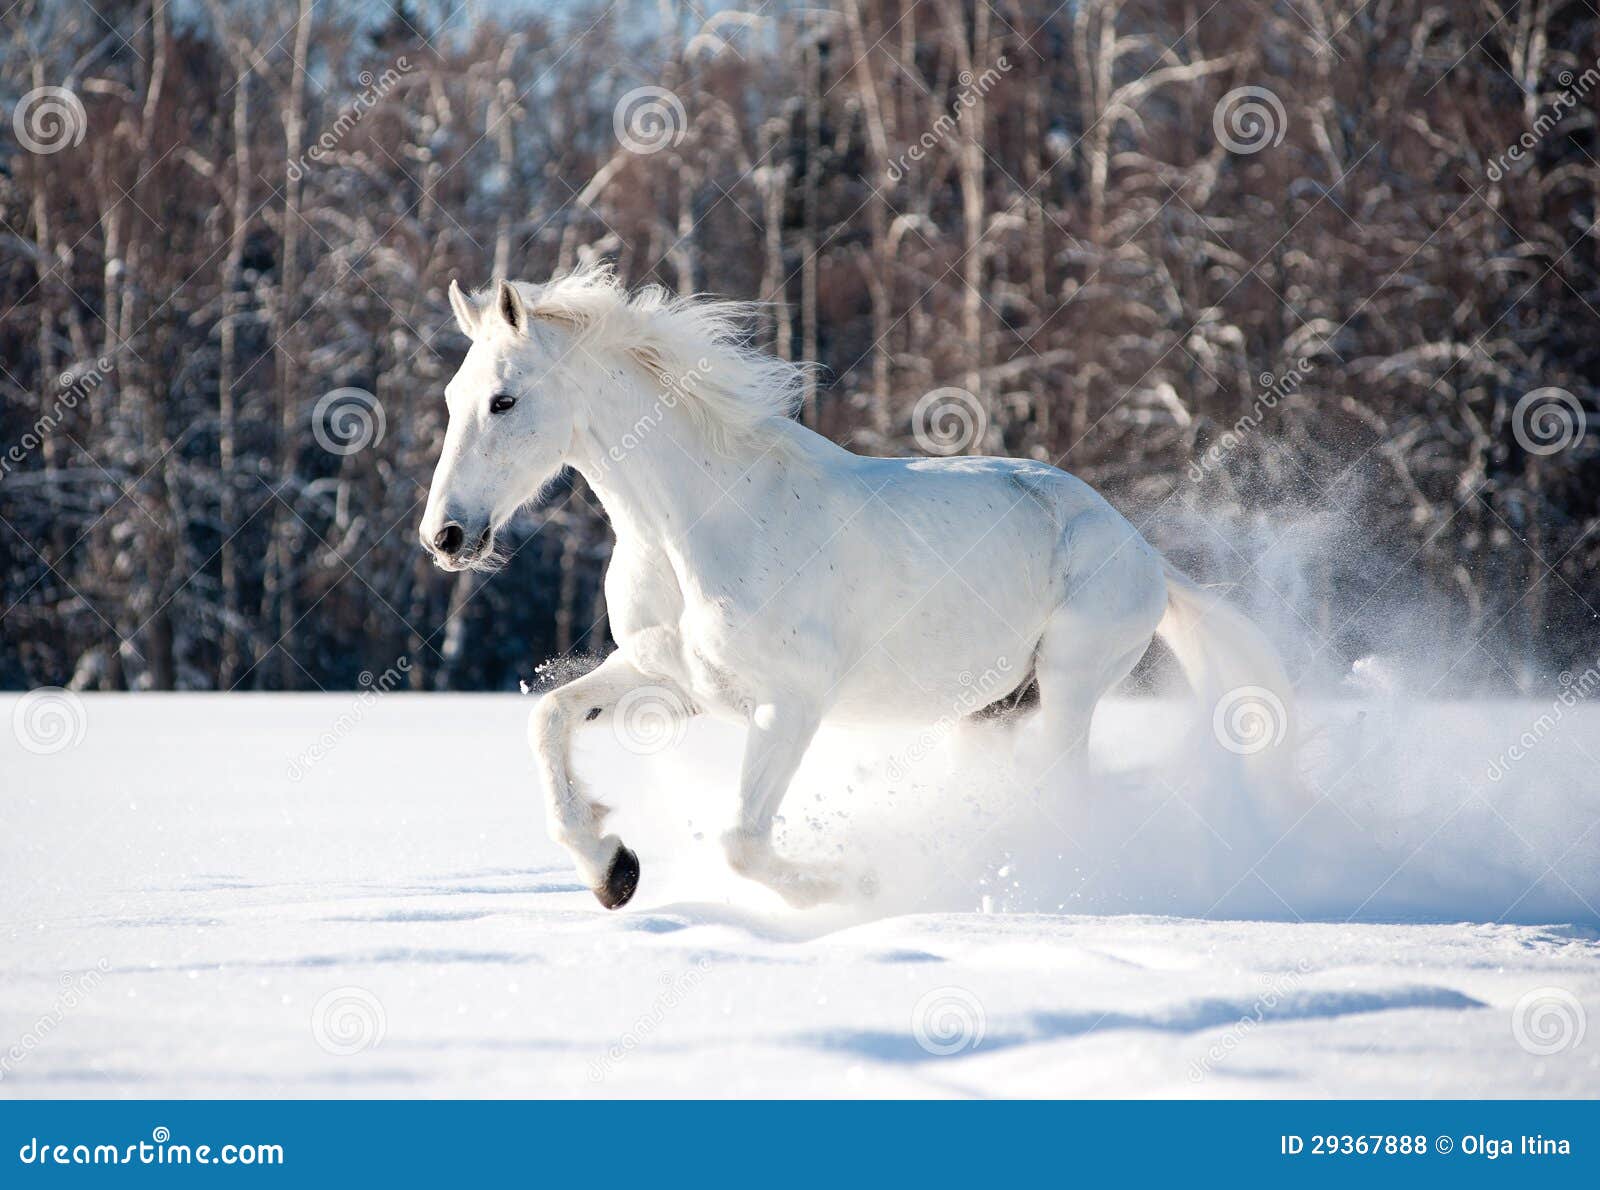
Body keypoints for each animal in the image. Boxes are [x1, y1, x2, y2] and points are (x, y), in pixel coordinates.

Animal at [419, 265, 1294, 910]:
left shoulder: (792, 703)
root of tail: (1142, 551)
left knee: (1071, 799)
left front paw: (852, 887)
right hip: (992, 711)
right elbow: (550, 718)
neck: (695, 527)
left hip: (1071, 689)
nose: (446, 538)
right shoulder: (671, 680)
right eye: (453, 399)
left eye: (504, 400)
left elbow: (742, 843)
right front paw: (612, 871)